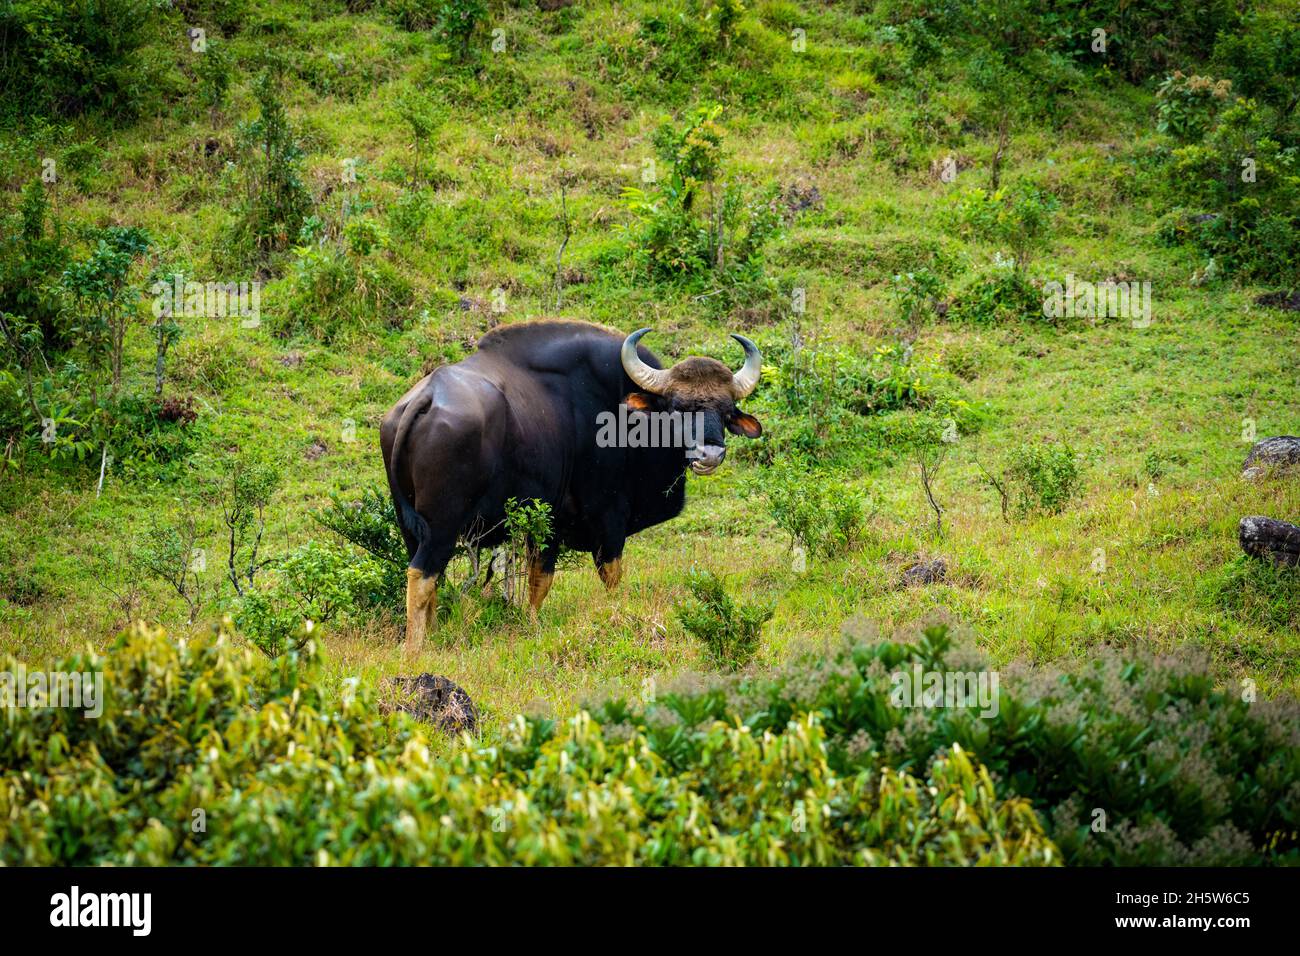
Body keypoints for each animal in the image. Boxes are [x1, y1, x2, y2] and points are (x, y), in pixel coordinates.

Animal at [380, 320, 763, 649]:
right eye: (678, 408)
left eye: (727, 410)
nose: (709, 453)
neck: (622, 413)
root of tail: (425, 398)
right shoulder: (604, 517)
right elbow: (598, 577)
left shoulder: (547, 525)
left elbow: (537, 580)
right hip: (442, 525)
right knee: (422, 573)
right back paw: (416, 647)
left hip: (409, 524)